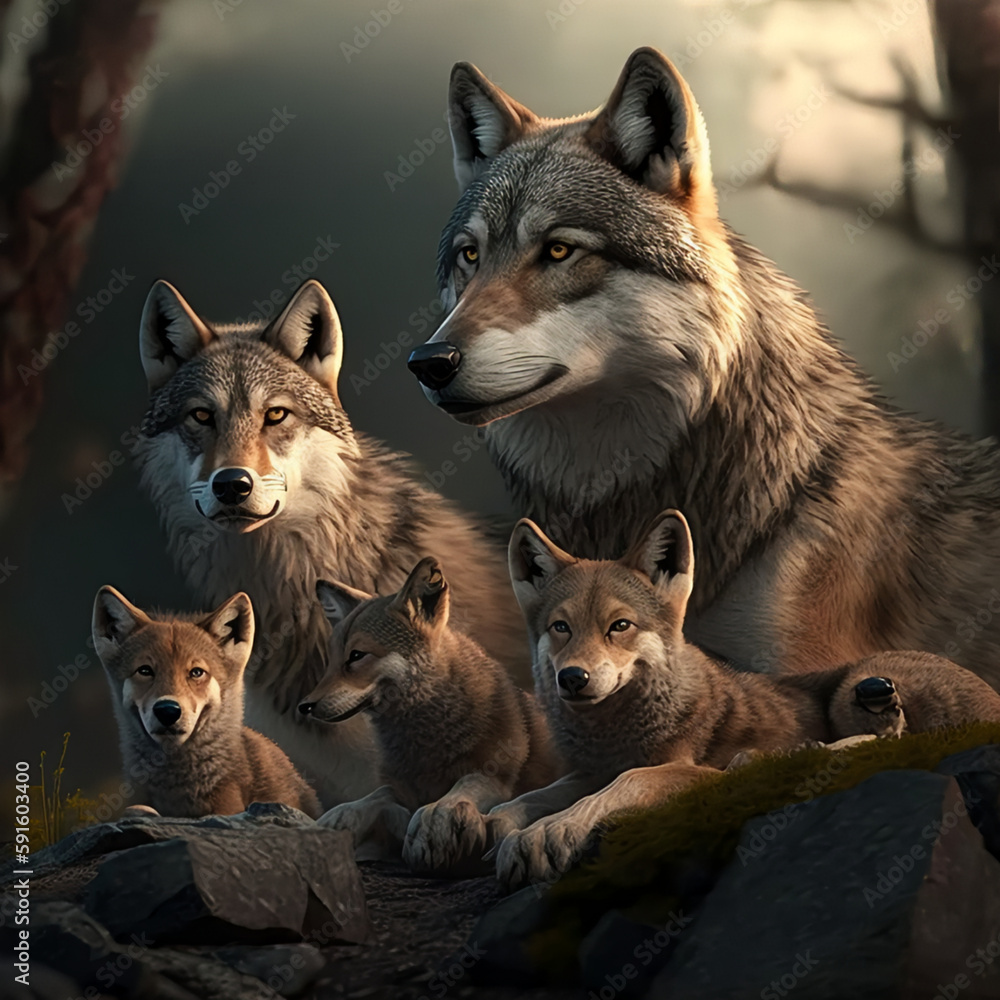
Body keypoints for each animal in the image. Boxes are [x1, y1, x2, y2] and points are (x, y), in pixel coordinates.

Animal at [298, 557, 562, 874]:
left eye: (357, 656)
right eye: (333, 659)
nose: (304, 706)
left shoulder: (496, 776)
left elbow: (465, 786)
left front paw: (438, 816)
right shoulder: (403, 790)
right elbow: (376, 795)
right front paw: (337, 817)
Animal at [487, 510, 1000, 891]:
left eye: (620, 626)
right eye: (561, 627)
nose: (573, 678)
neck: (615, 731)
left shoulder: (688, 773)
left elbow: (626, 783)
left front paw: (554, 831)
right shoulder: (587, 771)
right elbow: (521, 802)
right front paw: (507, 832)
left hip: (853, 684)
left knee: (888, 737)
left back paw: (779, 755)